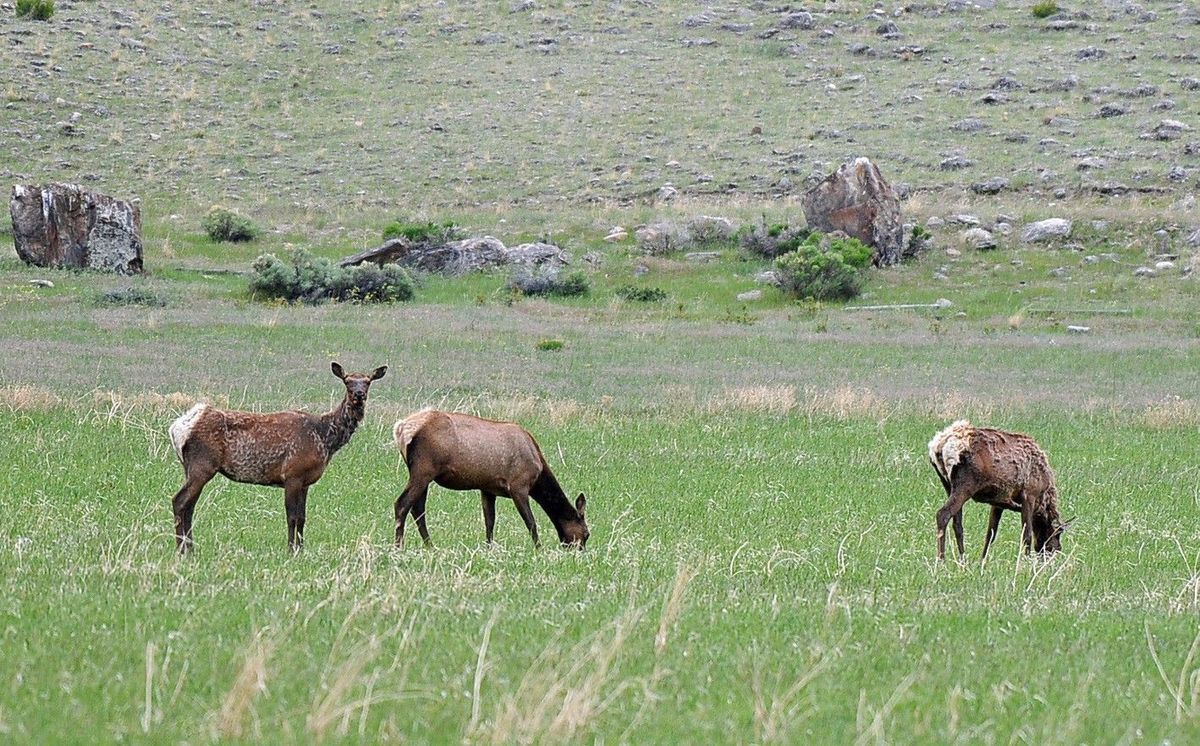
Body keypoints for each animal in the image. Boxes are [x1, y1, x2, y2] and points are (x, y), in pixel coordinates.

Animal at [168, 362, 387, 554]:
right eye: (347, 381)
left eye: (367, 381)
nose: (359, 394)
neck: (324, 438)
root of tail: (177, 428)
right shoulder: (292, 474)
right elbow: (292, 517)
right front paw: (291, 550)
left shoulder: (306, 481)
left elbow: (302, 518)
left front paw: (301, 550)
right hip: (202, 464)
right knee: (179, 501)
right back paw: (181, 550)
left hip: (190, 467)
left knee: (189, 506)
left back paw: (190, 548)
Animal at [391, 409, 589, 549]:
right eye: (586, 534)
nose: (579, 551)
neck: (538, 472)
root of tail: (400, 429)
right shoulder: (519, 485)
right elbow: (531, 522)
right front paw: (539, 549)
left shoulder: (487, 488)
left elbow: (489, 522)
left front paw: (489, 548)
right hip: (424, 469)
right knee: (402, 504)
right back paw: (399, 547)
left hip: (422, 473)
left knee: (417, 509)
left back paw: (430, 545)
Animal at [928, 420, 1071, 561]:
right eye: (1057, 534)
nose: (1057, 550)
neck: (1043, 499)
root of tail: (940, 445)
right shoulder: (1029, 495)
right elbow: (1027, 535)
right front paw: (1026, 562)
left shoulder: (998, 503)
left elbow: (990, 534)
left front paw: (982, 561)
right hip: (965, 486)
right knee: (943, 514)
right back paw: (941, 559)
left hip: (948, 484)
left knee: (957, 523)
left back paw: (963, 559)